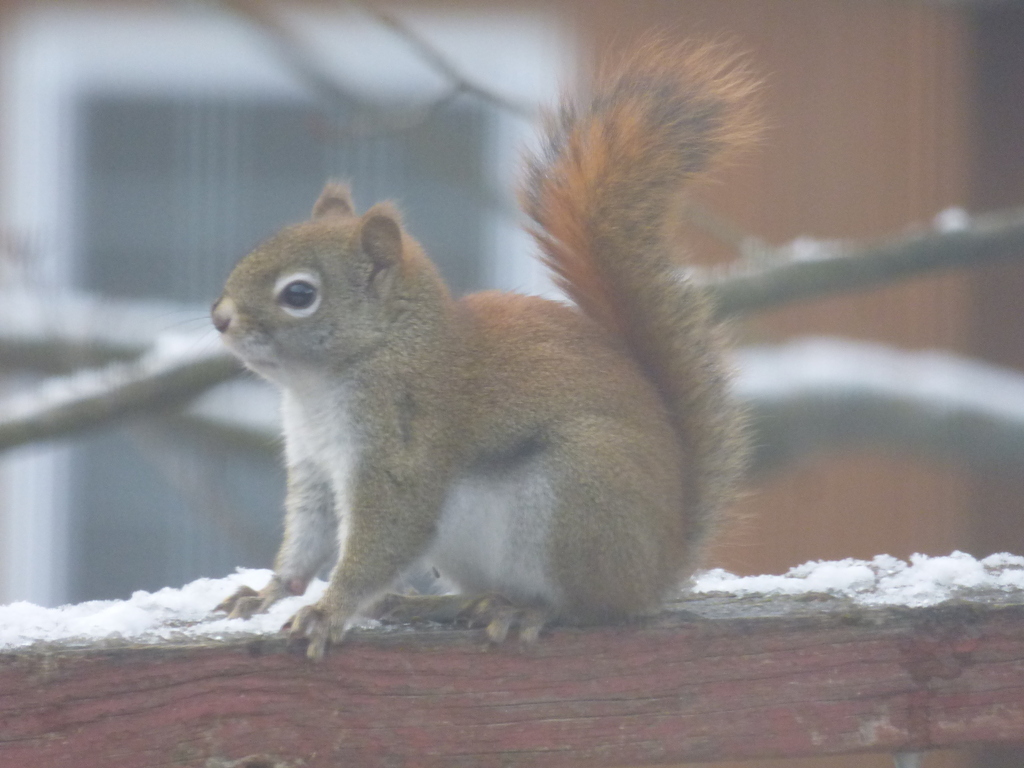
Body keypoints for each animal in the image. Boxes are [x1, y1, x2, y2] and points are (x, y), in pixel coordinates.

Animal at [212, 41, 759, 660]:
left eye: (299, 295)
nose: (220, 318)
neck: (322, 383)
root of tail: (657, 570)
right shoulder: (314, 466)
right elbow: (307, 539)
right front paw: (267, 591)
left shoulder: (402, 444)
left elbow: (387, 532)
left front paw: (326, 612)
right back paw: (435, 604)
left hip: (581, 494)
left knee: (587, 607)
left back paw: (525, 609)